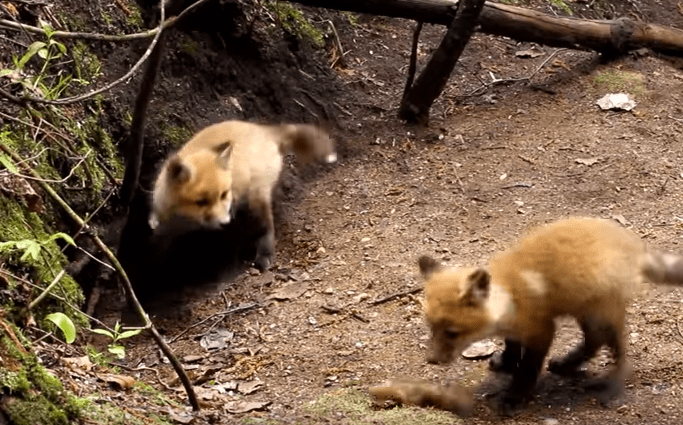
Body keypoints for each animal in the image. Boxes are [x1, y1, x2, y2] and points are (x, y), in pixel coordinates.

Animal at [150, 120, 337, 271]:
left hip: (256, 198)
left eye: (224, 194)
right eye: (201, 202)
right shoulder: (165, 226)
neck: (189, 223)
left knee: (266, 227)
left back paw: (264, 255)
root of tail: (263, 129)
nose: (225, 222)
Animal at [418, 217, 683, 413]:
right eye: (431, 328)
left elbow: (528, 368)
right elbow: (512, 348)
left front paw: (516, 396)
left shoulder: (542, 330)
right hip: (586, 313)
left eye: (452, 333)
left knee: (619, 351)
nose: (431, 359)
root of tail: (635, 247)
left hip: (602, 315)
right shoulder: (516, 329)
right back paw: (567, 364)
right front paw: (506, 363)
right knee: (594, 342)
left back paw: (612, 385)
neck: (511, 295)